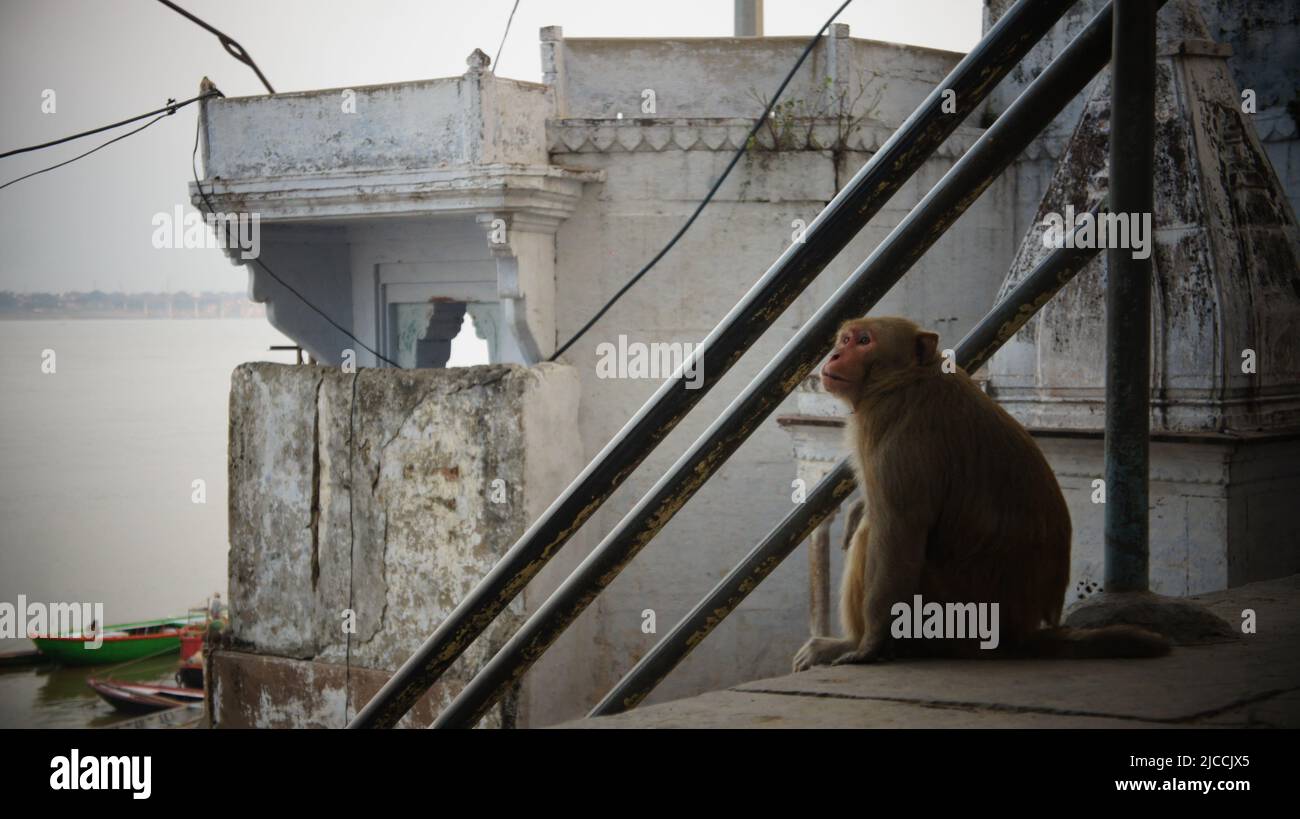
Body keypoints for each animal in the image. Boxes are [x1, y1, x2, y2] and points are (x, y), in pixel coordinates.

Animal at [793, 317, 1168, 672]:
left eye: (864, 341)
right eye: (844, 339)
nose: (834, 355)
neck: (908, 379)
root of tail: (1021, 634)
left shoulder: (896, 432)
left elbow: (898, 533)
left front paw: (868, 646)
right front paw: (858, 507)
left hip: (948, 611)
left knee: (876, 535)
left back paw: (849, 643)